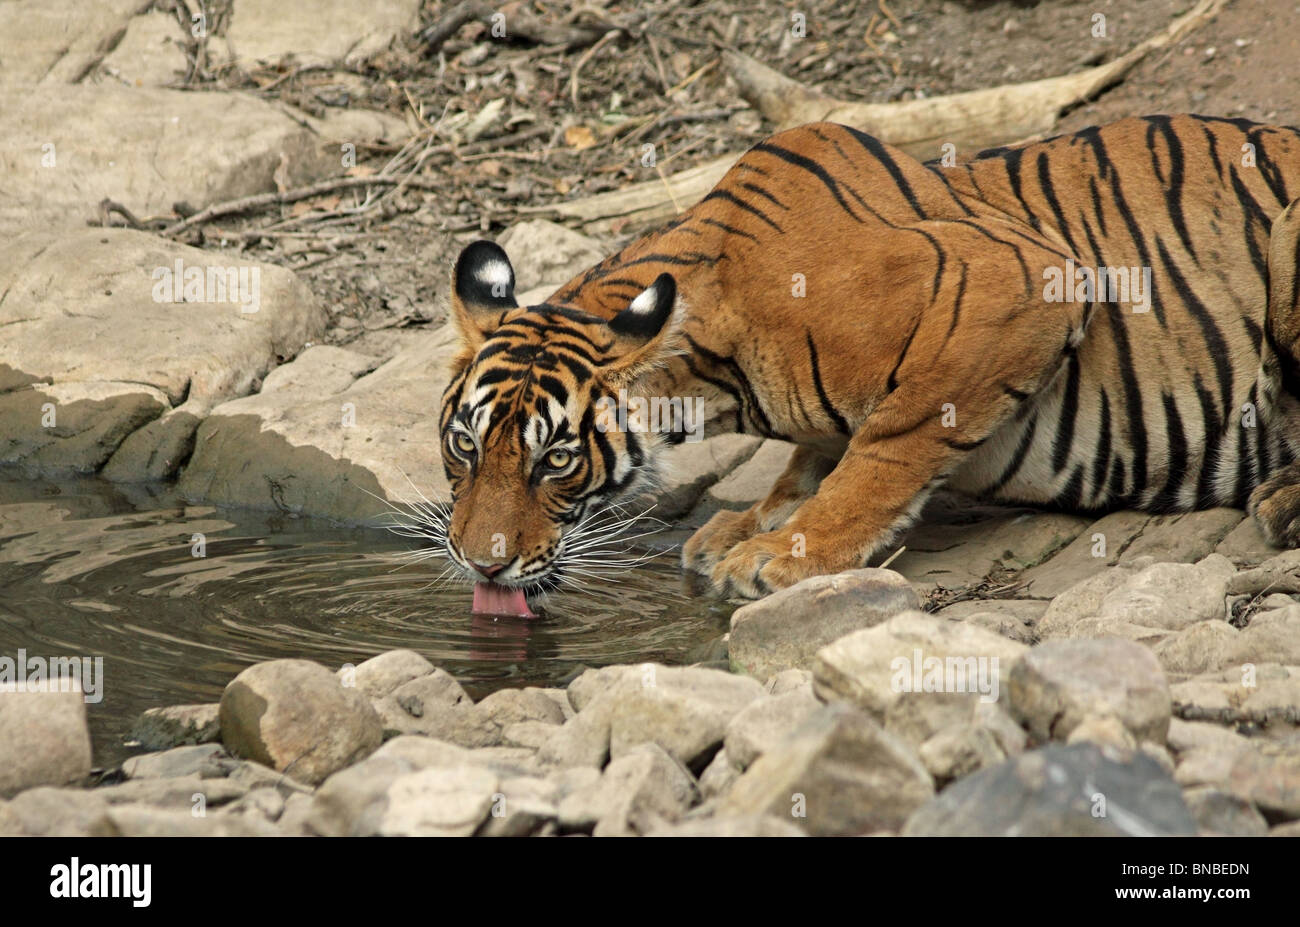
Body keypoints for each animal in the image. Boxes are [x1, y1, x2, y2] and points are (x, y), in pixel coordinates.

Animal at [437, 113, 1300, 610]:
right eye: (463, 446)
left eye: (556, 460)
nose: (482, 566)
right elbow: (815, 460)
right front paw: (748, 523)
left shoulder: (1021, 278)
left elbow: (886, 448)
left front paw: (783, 555)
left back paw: (1282, 503)